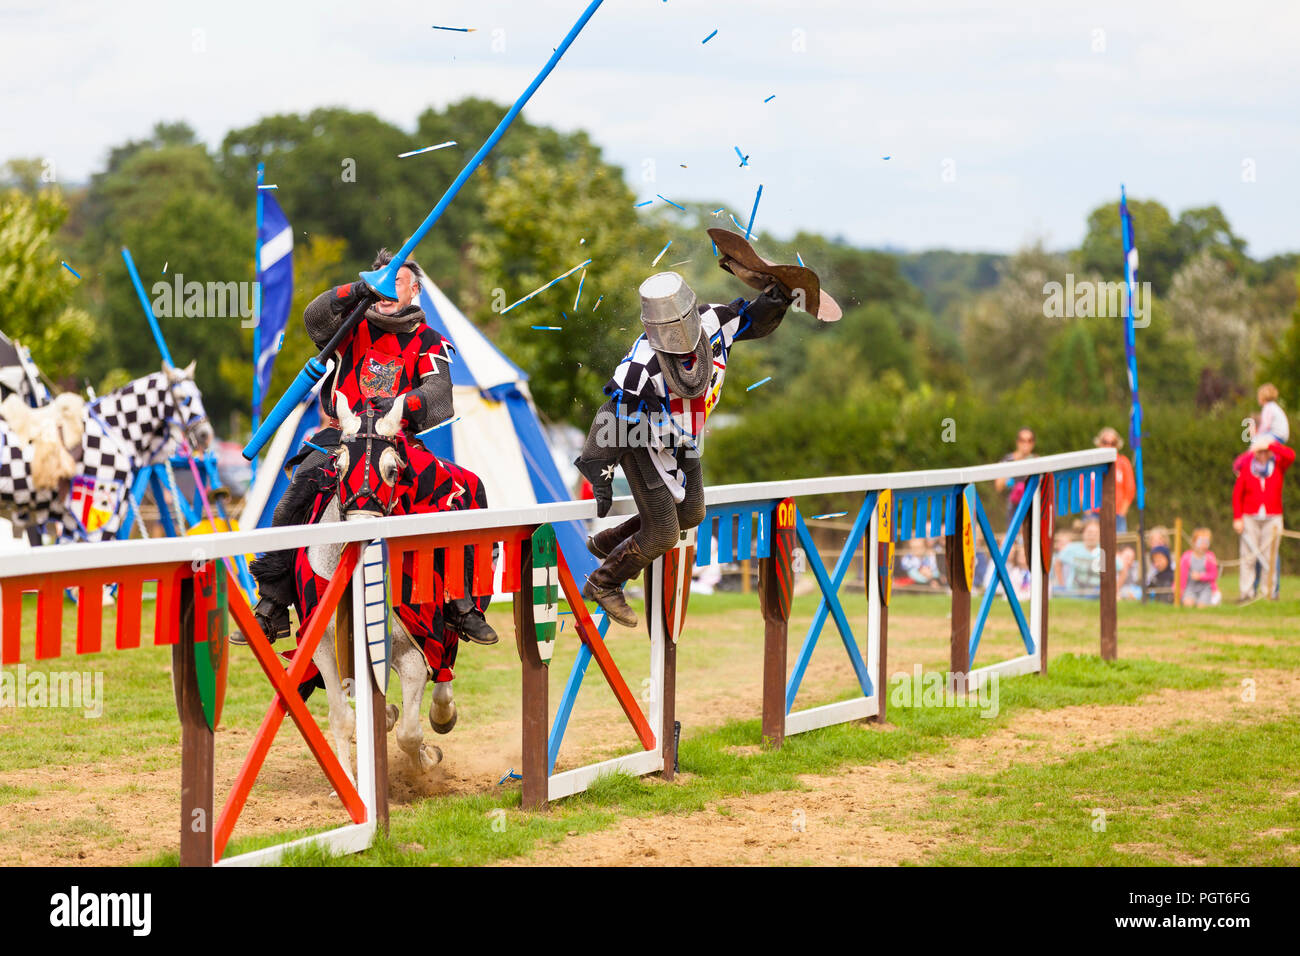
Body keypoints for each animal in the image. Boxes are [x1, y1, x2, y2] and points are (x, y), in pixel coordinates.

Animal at [0, 361, 213, 543]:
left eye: (200, 395)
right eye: (182, 398)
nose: (206, 435)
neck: (115, 429)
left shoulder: (73, 523)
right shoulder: (97, 519)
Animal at [291, 398, 491, 782]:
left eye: (392, 470)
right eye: (338, 467)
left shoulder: (414, 649)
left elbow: (410, 733)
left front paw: (426, 762)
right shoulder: (323, 646)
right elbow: (342, 717)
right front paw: (349, 782)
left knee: (447, 663)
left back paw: (443, 711)